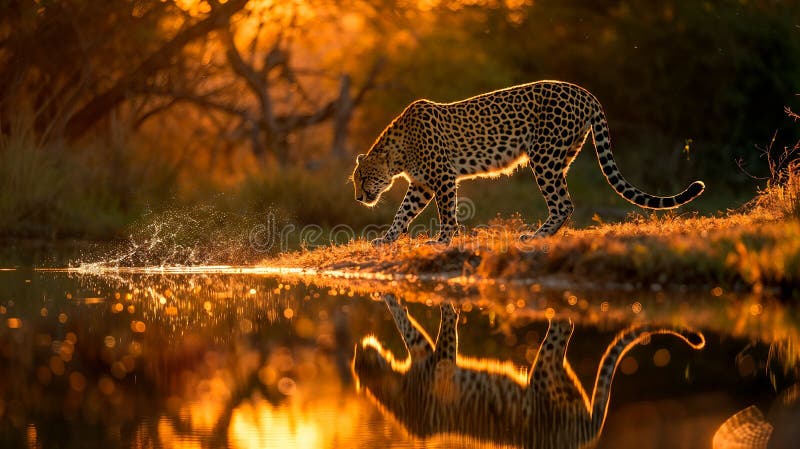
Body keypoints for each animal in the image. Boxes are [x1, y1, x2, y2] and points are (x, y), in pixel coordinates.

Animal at [351, 81, 705, 245]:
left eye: (365, 179)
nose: (358, 197)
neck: (399, 154)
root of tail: (585, 92)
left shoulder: (443, 177)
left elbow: (447, 212)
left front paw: (442, 241)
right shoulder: (422, 184)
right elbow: (403, 213)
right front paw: (386, 239)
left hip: (543, 156)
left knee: (563, 203)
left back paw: (537, 237)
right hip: (561, 155)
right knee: (563, 201)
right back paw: (543, 235)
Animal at [352, 293, 706, 449]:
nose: (358, 349)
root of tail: (587, 433)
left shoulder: (435, 359)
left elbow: (414, 327)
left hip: (544, 377)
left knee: (565, 325)